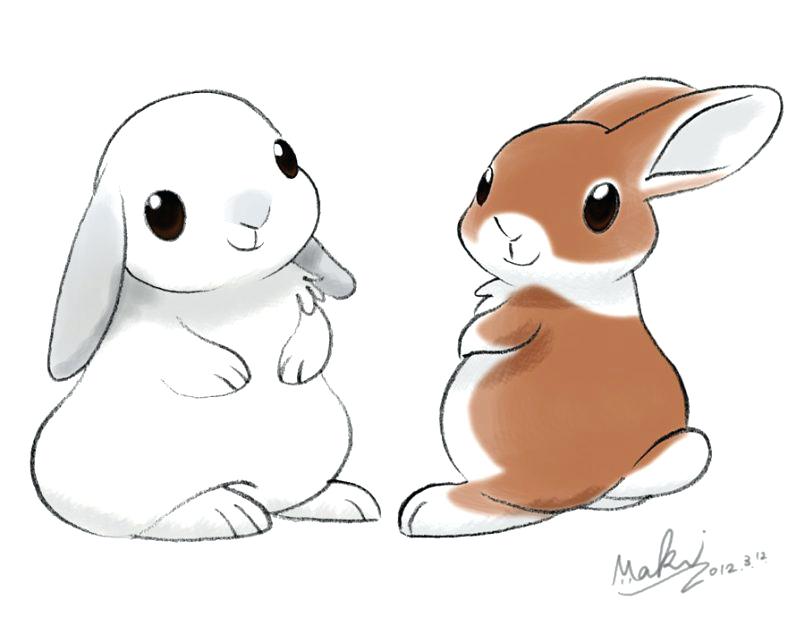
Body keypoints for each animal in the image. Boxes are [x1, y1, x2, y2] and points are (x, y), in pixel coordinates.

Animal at [31, 90, 380, 540]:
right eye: (162, 213)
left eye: (285, 157)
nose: (256, 211)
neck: (235, 290)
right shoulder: (149, 330)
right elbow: (174, 348)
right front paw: (229, 373)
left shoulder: (298, 291)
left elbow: (314, 321)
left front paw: (297, 365)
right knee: (157, 521)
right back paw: (229, 511)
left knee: (289, 499)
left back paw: (344, 500)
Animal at [399, 78, 782, 537]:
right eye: (484, 185)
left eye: (601, 206)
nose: (508, 229)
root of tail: (606, 482)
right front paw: (486, 294)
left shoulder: (537, 316)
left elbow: (502, 326)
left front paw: (467, 340)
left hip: (532, 480)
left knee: (515, 504)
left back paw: (429, 508)